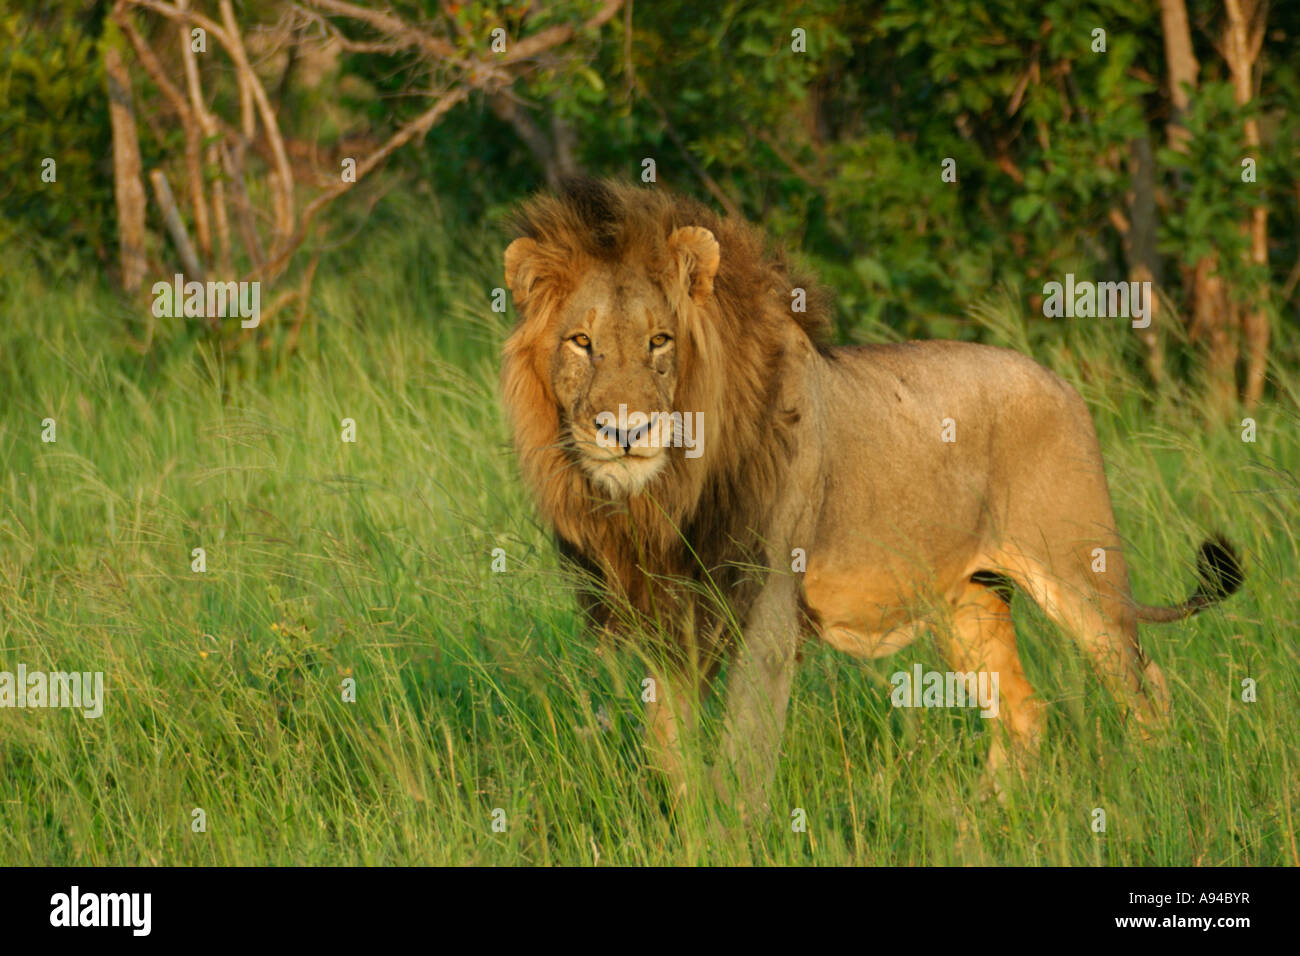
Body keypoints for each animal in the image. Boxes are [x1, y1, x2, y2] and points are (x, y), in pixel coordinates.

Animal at [499, 177, 1243, 818]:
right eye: (581, 342)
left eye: (661, 341)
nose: (626, 431)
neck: (667, 494)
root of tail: (1062, 384)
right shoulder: (665, 616)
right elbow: (669, 749)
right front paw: (693, 830)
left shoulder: (768, 607)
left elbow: (743, 754)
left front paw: (734, 833)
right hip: (967, 599)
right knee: (1024, 711)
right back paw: (972, 823)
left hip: (1078, 573)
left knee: (1144, 686)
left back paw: (1148, 791)